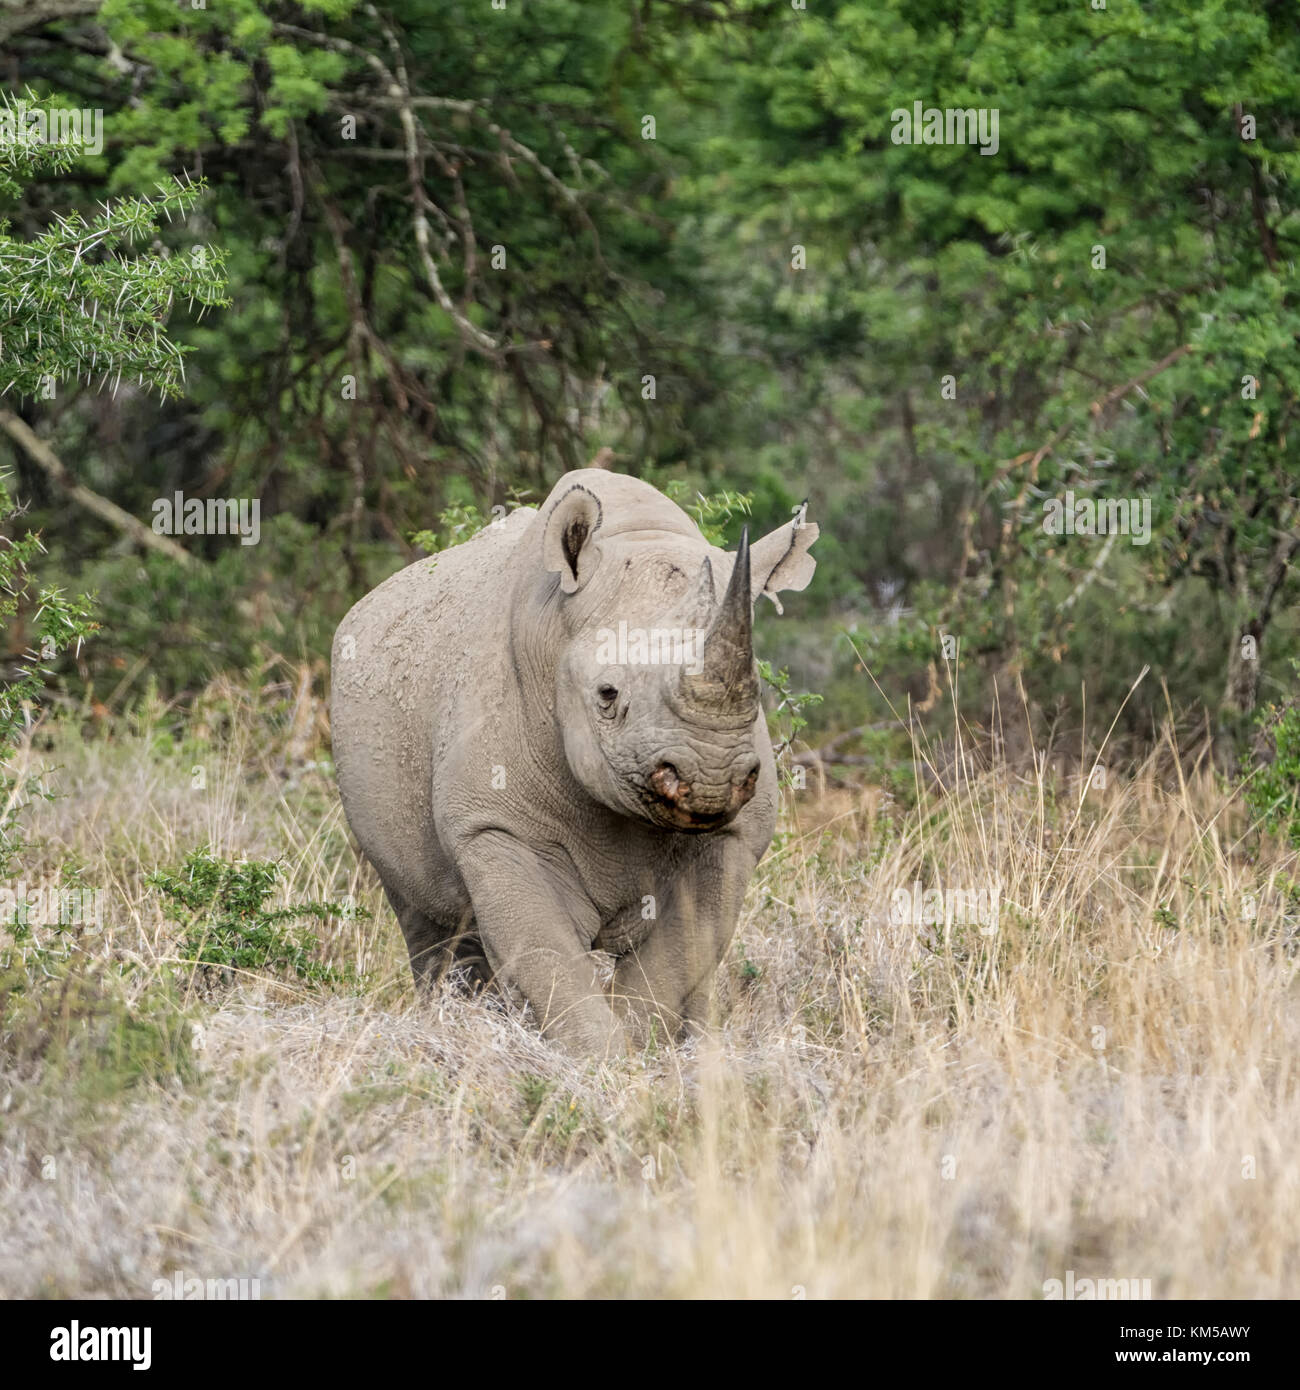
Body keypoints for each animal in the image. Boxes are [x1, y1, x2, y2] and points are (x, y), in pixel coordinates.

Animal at [330, 469, 817, 1056]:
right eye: (607, 695)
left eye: (758, 693)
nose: (709, 777)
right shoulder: (494, 826)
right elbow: (547, 958)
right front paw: (604, 1064)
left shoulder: (732, 834)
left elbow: (676, 961)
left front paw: (645, 1056)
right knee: (427, 921)